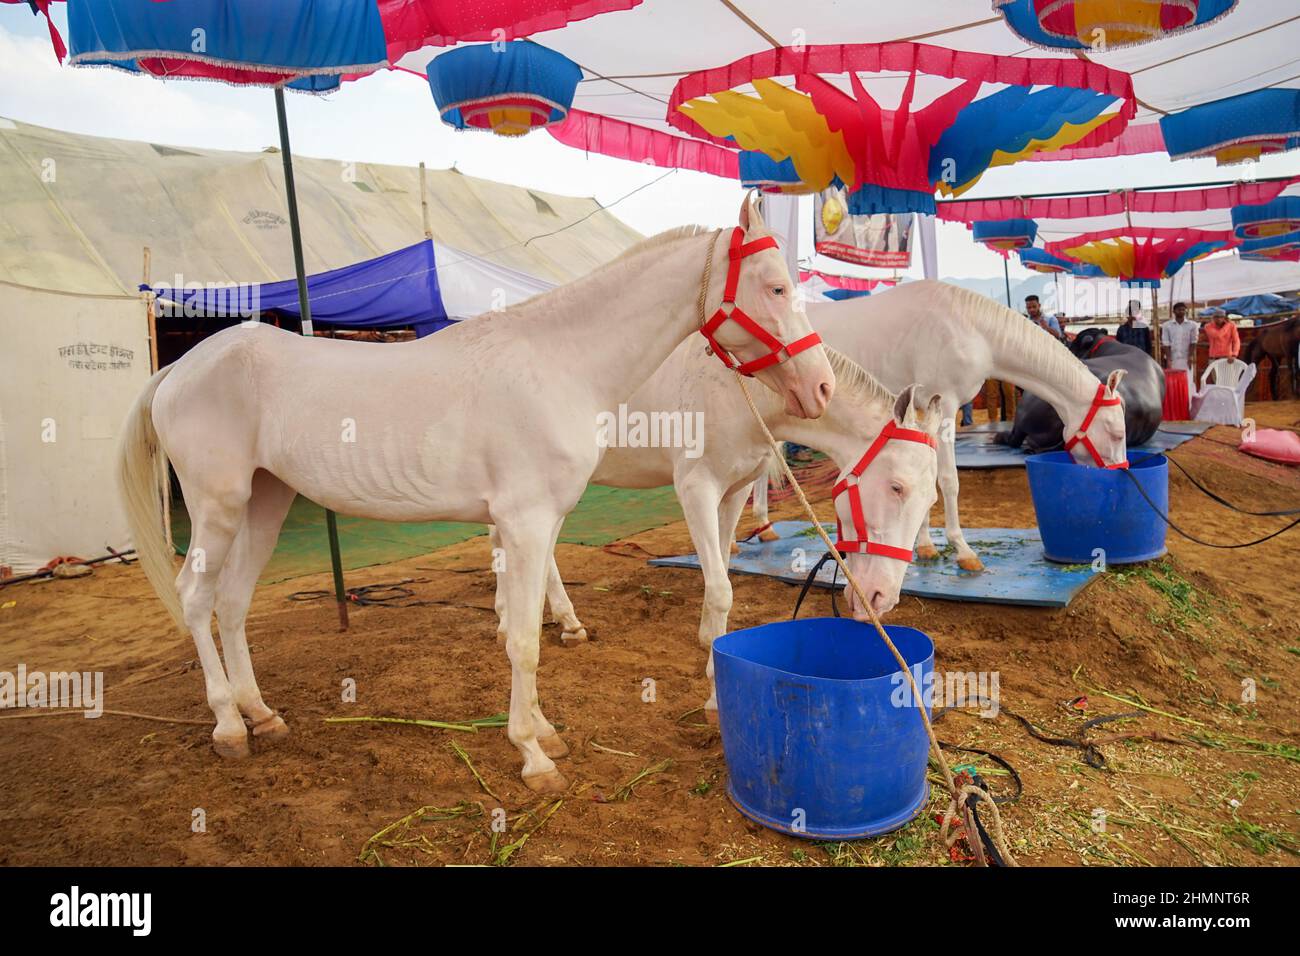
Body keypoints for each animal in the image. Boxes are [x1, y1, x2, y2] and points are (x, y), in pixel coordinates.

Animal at [115, 195, 837, 793]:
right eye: (776, 286)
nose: (822, 387)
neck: (560, 364)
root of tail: (181, 368)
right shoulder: (526, 522)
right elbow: (523, 639)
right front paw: (533, 757)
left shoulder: (541, 523)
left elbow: (529, 624)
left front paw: (544, 732)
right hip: (217, 506)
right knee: (196, 598)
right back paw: (227, 727)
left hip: (266, 501)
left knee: (232, 603)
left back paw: (261, 714)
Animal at [493, 345, 940, 716]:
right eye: (897, 487)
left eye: (931, 499)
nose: (882, 598)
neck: (743, 393)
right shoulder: (696, 488)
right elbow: (721, 591)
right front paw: (713, 689)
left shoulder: (735, 490)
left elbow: (721, 573)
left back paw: (551, 620)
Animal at [739, 281, 1129, 571]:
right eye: (1117, 433)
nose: (1120, 474)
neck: (971, 328)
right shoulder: (946, 410)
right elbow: (949, 481)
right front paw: (964, 551)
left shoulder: (924, 408)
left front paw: (925, 545)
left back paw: (764, 527)